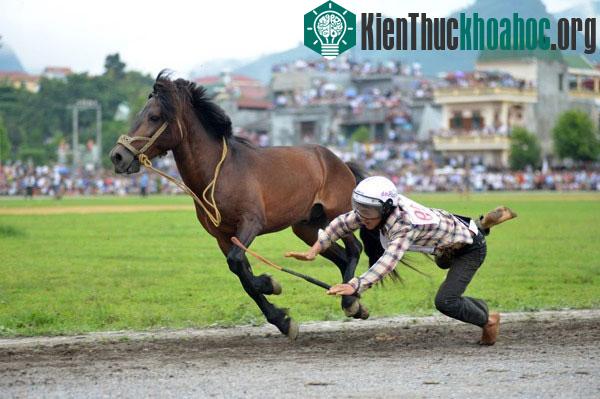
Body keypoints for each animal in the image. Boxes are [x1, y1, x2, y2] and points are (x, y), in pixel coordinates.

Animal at [109, 71, 368, 338]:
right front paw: (280, 315)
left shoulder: (250, 223)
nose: (117, 156)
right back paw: (353, 299)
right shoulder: (223, 236)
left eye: (154, 116)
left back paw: (350, 301)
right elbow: (241, 272)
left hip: (338, 214)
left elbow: (237, 263)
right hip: (307, 227)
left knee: (354, 249)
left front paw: (270, 285)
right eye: (139, 115)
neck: (220, 172)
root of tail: (339, 161)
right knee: (341, 257)